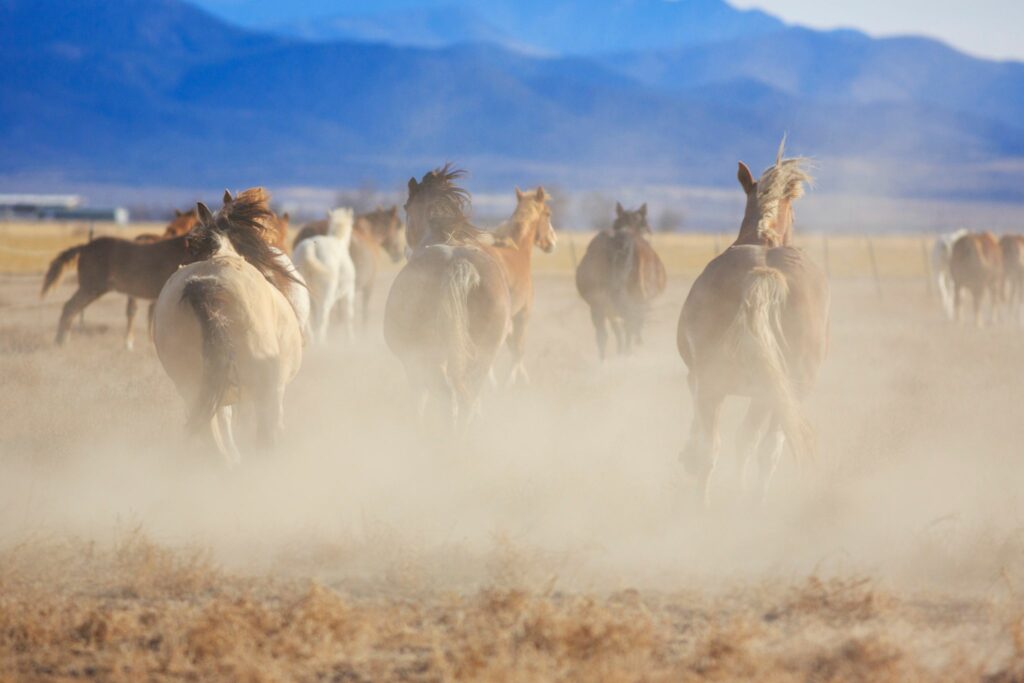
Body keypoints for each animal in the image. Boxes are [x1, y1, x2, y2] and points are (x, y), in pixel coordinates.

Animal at [152, 192, 304, 465]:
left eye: (190, 246)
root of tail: (203, 283)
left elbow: (225, 422)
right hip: (265, 383)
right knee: (266, 433)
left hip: (192, 384)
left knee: (212, 434)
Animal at [291, 208, 357, 344]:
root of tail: (309, 248)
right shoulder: (349, 292)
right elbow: (348, 315)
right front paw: (351, 339)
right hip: (326, 295)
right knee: (323, 317)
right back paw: (321, 343)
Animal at [383, 165, 510, 431]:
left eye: (406, 207)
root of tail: (459, 264)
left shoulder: (413, 363)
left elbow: (419, 400)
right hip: (482, 357)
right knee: (469, 399)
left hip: (429, 357)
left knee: (447, 396)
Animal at [489, 187, 557, 384]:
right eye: (548, 214)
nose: (553, 242)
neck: (517, 251)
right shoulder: (522, 314)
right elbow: (518, 350)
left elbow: (513, 349)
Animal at [677, 141, 829, 505]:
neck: (763, 239)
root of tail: (764, 272)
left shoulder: (698, 379)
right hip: (785, 389)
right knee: (765, 447)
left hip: (722, 386)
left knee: (719, 447)